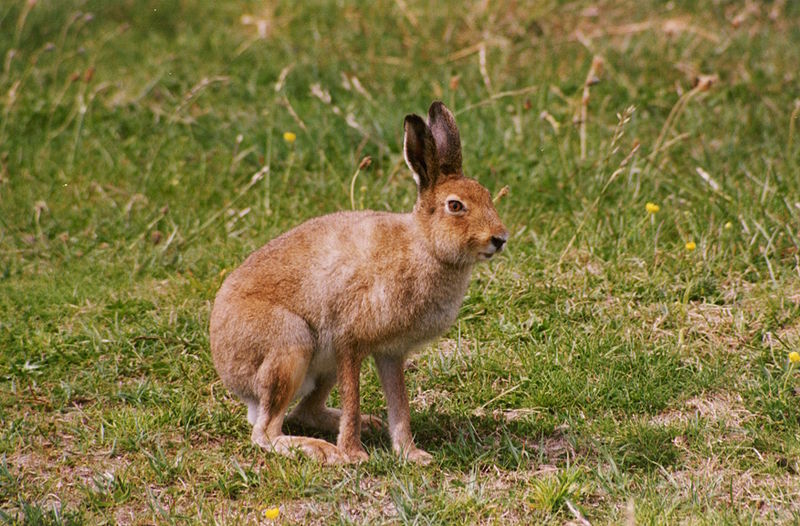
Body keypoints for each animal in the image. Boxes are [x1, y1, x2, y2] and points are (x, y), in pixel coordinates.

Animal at [209, 101, 508, 464]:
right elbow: (353, 399)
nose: (500, 238)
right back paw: (322, 450)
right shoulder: (349, 341)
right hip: (292, 344)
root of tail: (226, 367)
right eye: (455, 206)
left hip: (322, 365)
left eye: (487, 195)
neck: (424, 245)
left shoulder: (391, 352)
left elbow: (400, 406)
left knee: (303, 413)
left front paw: (412, 454)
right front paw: (354, 455)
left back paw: (368, 424)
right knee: (265, 431)